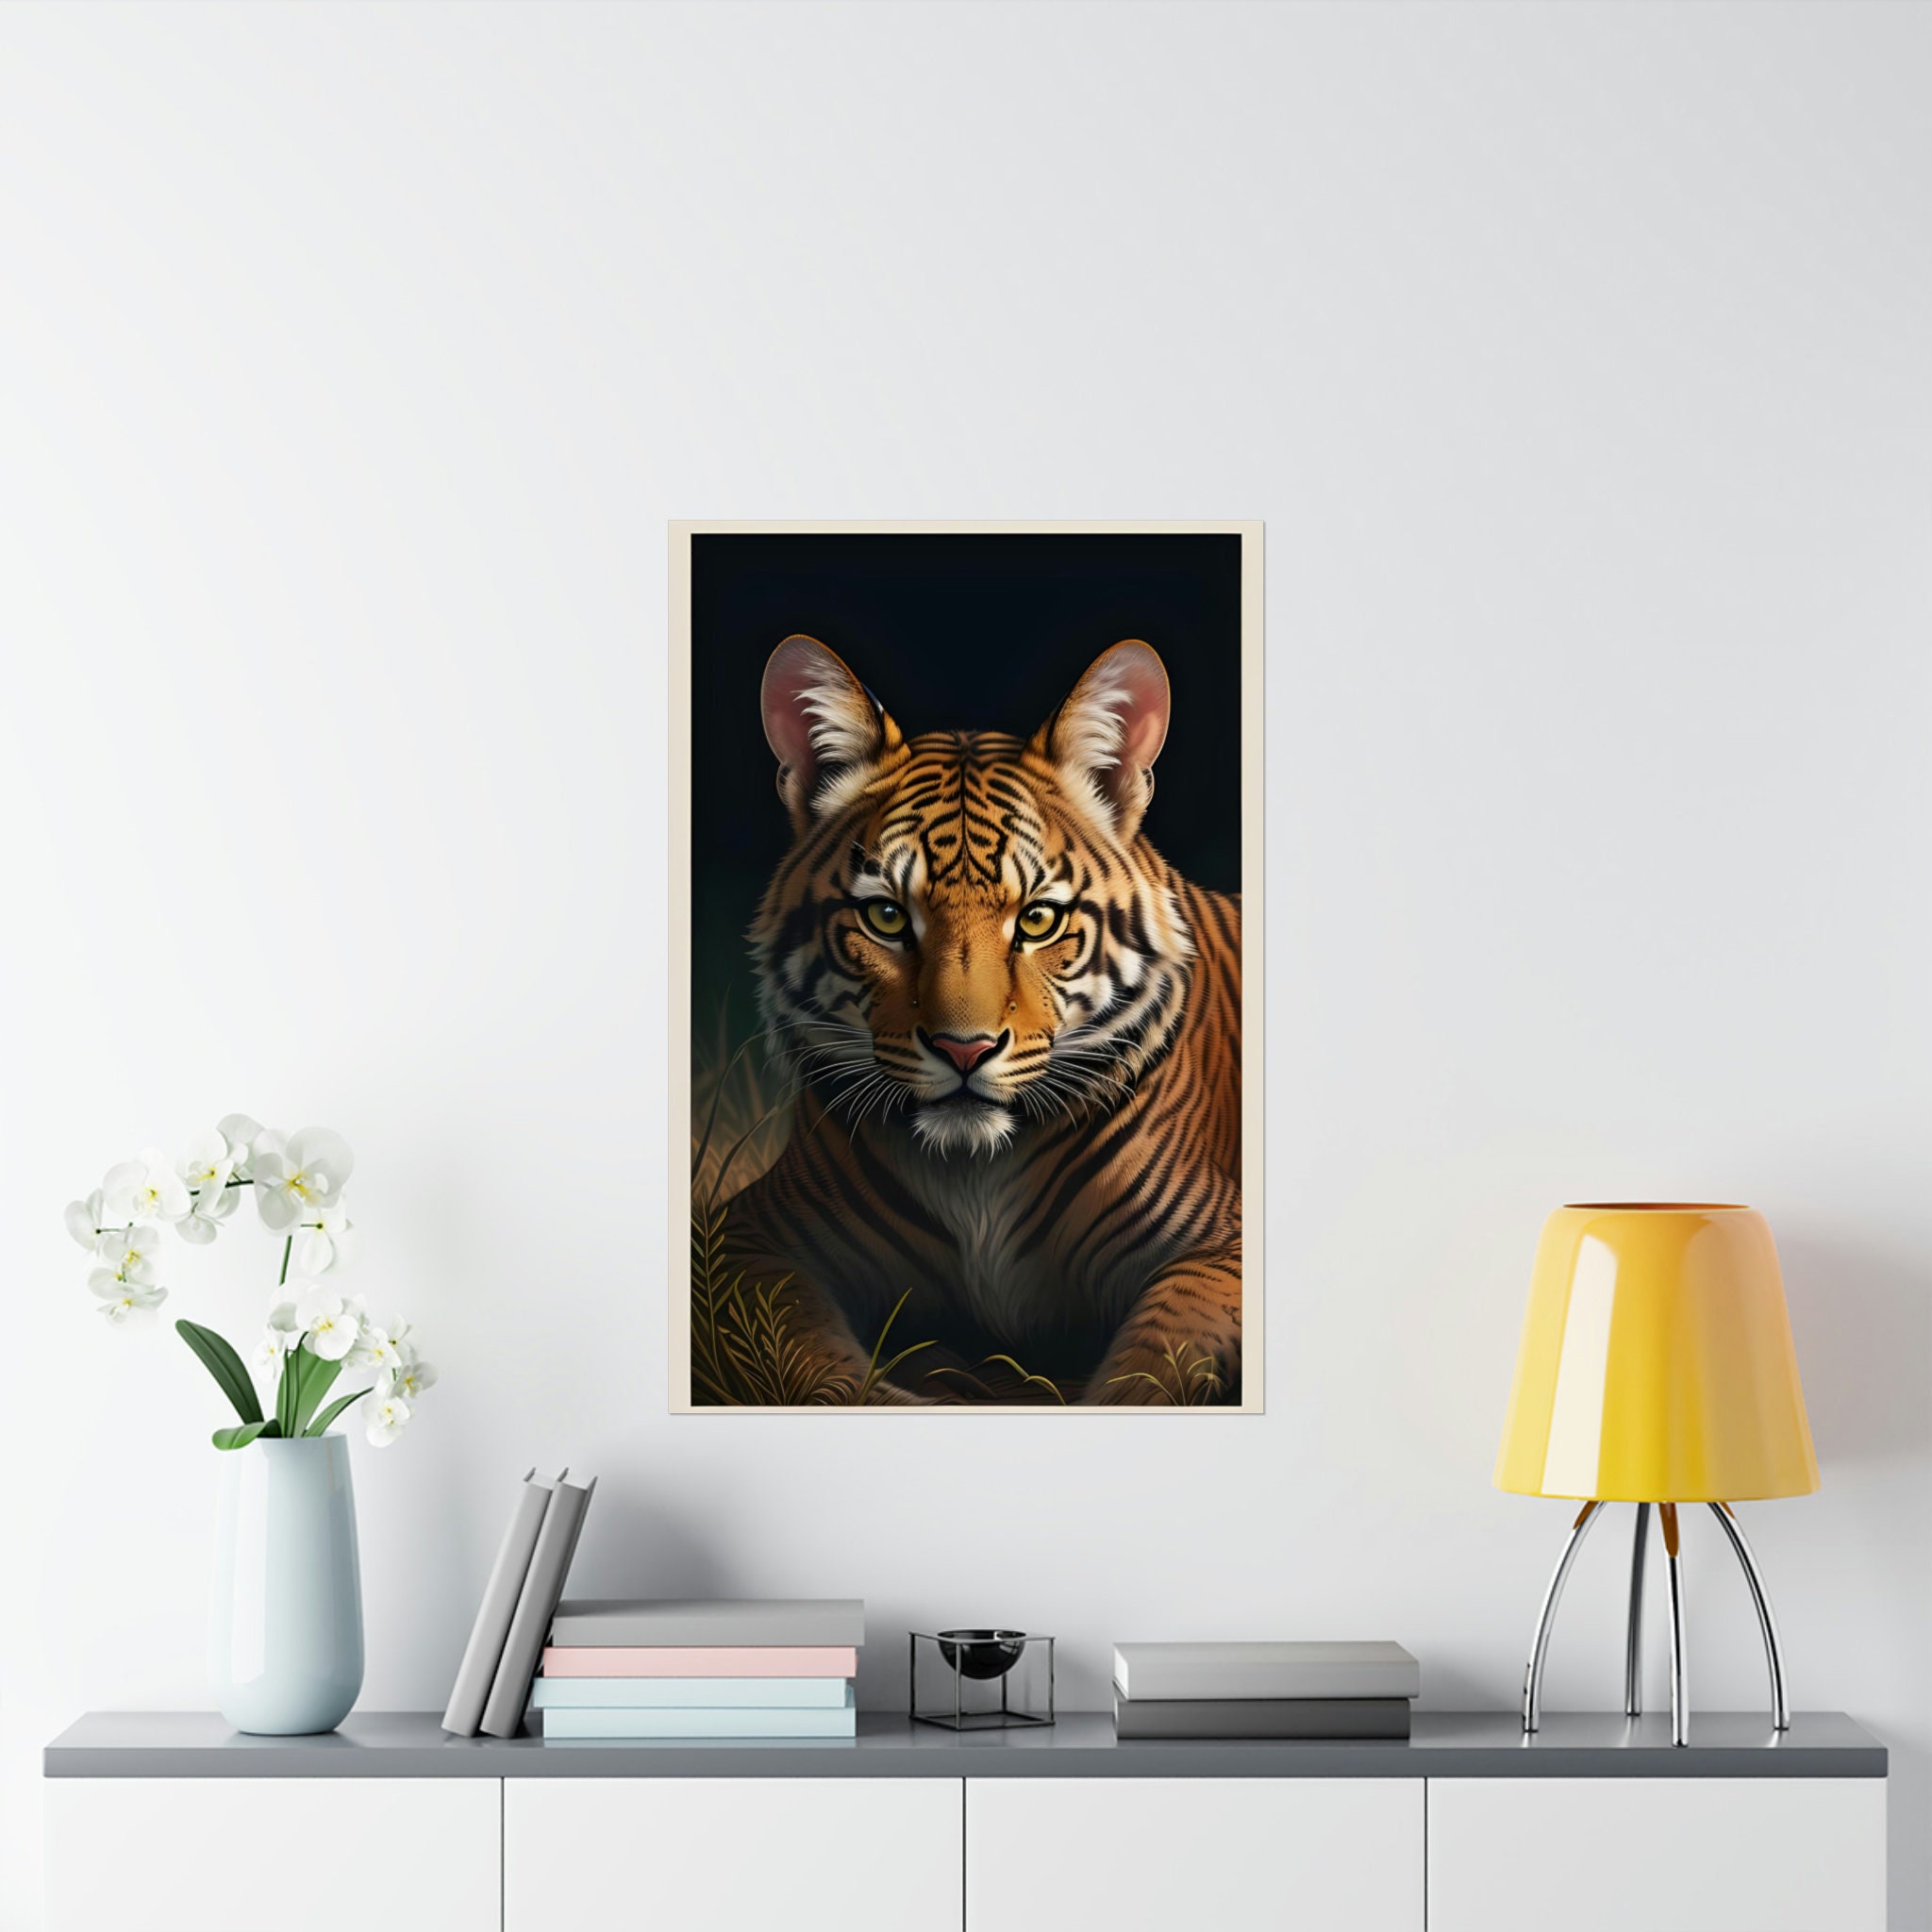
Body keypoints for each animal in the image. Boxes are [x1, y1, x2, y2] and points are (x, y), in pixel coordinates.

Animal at [716, 632, 1242, 1405]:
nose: (964, 1051)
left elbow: (1146, 1374)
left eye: (1038, 919)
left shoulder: (1221, 1245)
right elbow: (814, 1368)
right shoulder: (749, 1238)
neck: (975, 1177)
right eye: (886, 916)